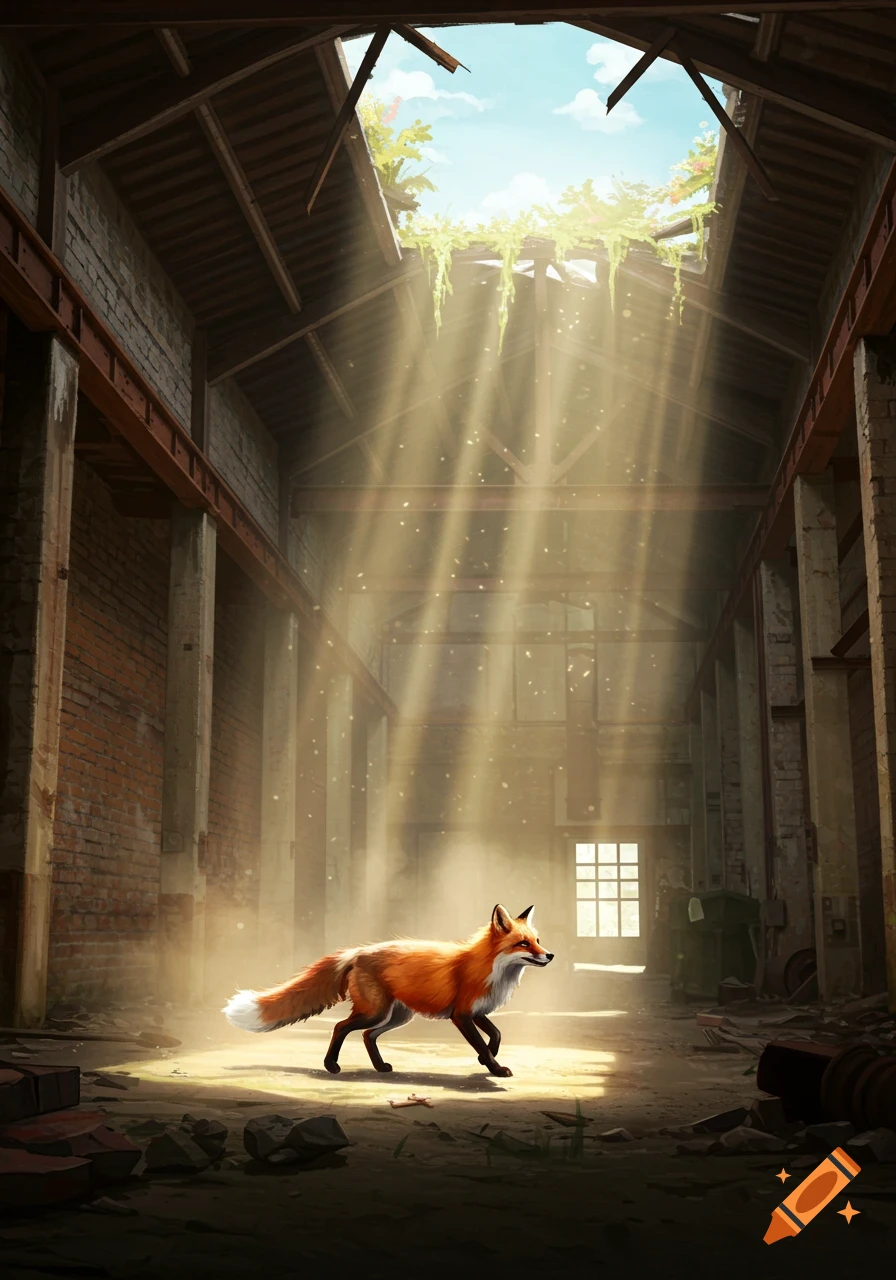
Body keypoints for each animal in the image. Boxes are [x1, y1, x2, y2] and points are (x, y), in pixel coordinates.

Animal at [222, 904, 553, 1078]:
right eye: (523, 944)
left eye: (537, 940)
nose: (550, 955)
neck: (489, 967)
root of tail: (358, 952)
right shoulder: (461, 1015)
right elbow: (483, 1043)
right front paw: (494, 1067)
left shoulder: (476, 1011)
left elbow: (495, 1035)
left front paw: (488, 1060)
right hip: (375, 1011)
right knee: (341, 1027)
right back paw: (331, 1065)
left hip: (396, 1016)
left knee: (368, 1036)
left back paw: (380, 1066)